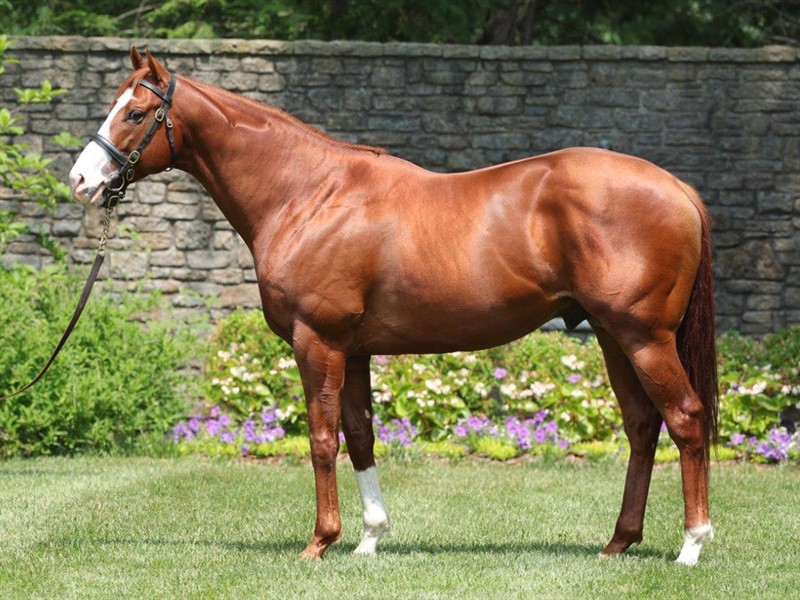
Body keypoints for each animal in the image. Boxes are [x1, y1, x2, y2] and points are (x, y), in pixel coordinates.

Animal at [69, 48, 719, 566]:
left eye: (134, 113)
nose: (80, 181)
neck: (307, 194)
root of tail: (678, 188)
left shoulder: (317, 341)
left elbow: (322, 438)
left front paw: (319, 543)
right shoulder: (352, 350)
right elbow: (359, 435)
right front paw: (368, 539)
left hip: (643, 336)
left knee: (685, 418)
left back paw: (691, 546)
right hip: (612, 335)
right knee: (642, 426)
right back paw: (618, 543)